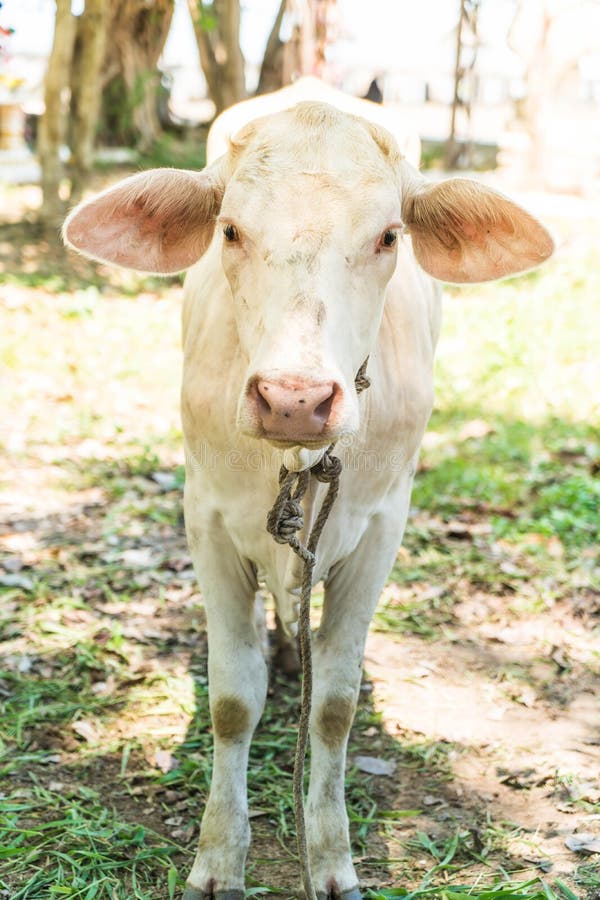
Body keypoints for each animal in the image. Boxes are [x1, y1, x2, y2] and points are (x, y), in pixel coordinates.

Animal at [63, 82, 553, 900]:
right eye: (230, 229)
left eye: (389, 236)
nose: (293, 398)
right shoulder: (206, 519)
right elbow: (233, 701)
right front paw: (219, 857)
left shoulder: (383, 527)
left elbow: (334, 707)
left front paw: (330, 858)